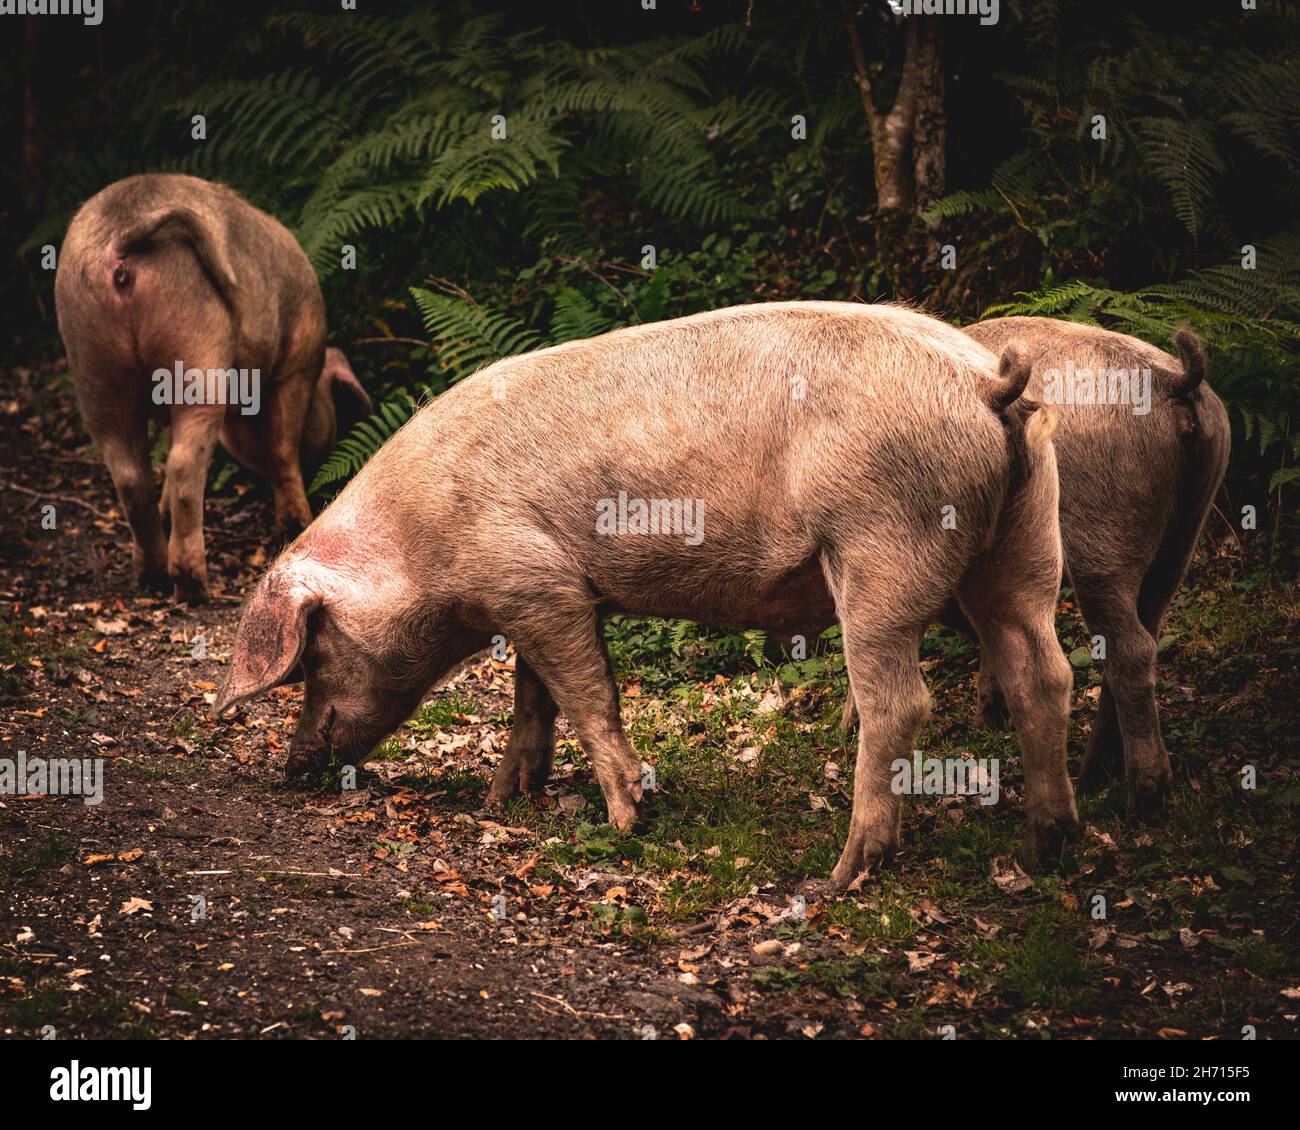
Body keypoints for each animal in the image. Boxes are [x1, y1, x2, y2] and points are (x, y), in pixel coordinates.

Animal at [54, 173, 364, 603]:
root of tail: (123, 237)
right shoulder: (295, 368)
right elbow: (282, 448)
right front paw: (295, 524)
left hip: (90, 357)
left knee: (131, 474)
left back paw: (151, 578)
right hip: (197, 343)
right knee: (186, 462)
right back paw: (194, 587)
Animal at [214, 301, 1078, 889]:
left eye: (315, 650)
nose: (293, 768)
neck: (420, 539)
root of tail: (989, 384)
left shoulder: (537, 582)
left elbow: (586, 693)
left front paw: (628, 820)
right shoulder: (539, 594)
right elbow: (534, 698)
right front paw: (503, 803)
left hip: (882, 543)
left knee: (899, 702)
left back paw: (841, 873)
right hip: (1028, 538)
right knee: (1044, 671)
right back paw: (1048, 846)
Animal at [843, 318, 1230, 819]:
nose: (845, 728)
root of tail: (1176, 381)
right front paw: (989, 717)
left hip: (1104, 537)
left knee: (1131, 649)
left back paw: (1139, 801)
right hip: (1187, 528)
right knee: (1146, 634)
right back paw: (1092, 778)